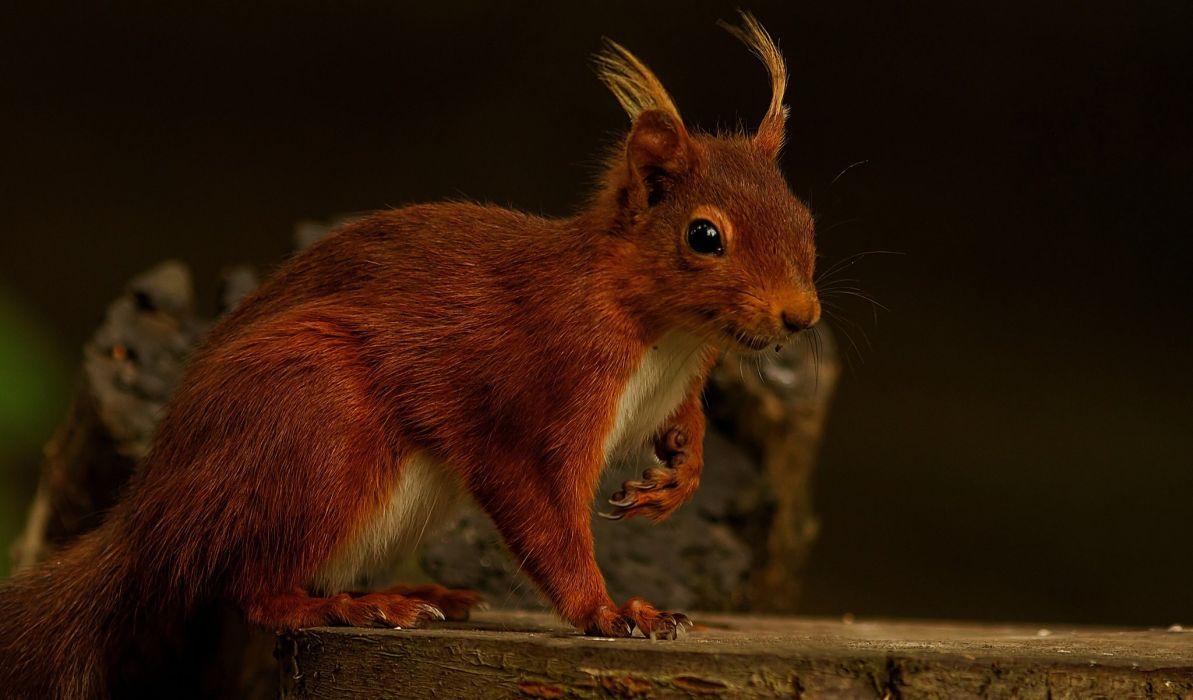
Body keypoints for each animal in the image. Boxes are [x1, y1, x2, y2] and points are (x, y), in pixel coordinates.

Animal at [0, 13, 819, 698]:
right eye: (704, 236)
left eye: (804, 219)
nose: (801, 316)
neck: (666, 337)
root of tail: (151, 516)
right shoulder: (539, 388)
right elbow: (542, 513)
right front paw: (610, 612)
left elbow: (686, 426)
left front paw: (678, 476)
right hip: (312, 423)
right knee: (254, 589)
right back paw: (358, 607)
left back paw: (416, 595)